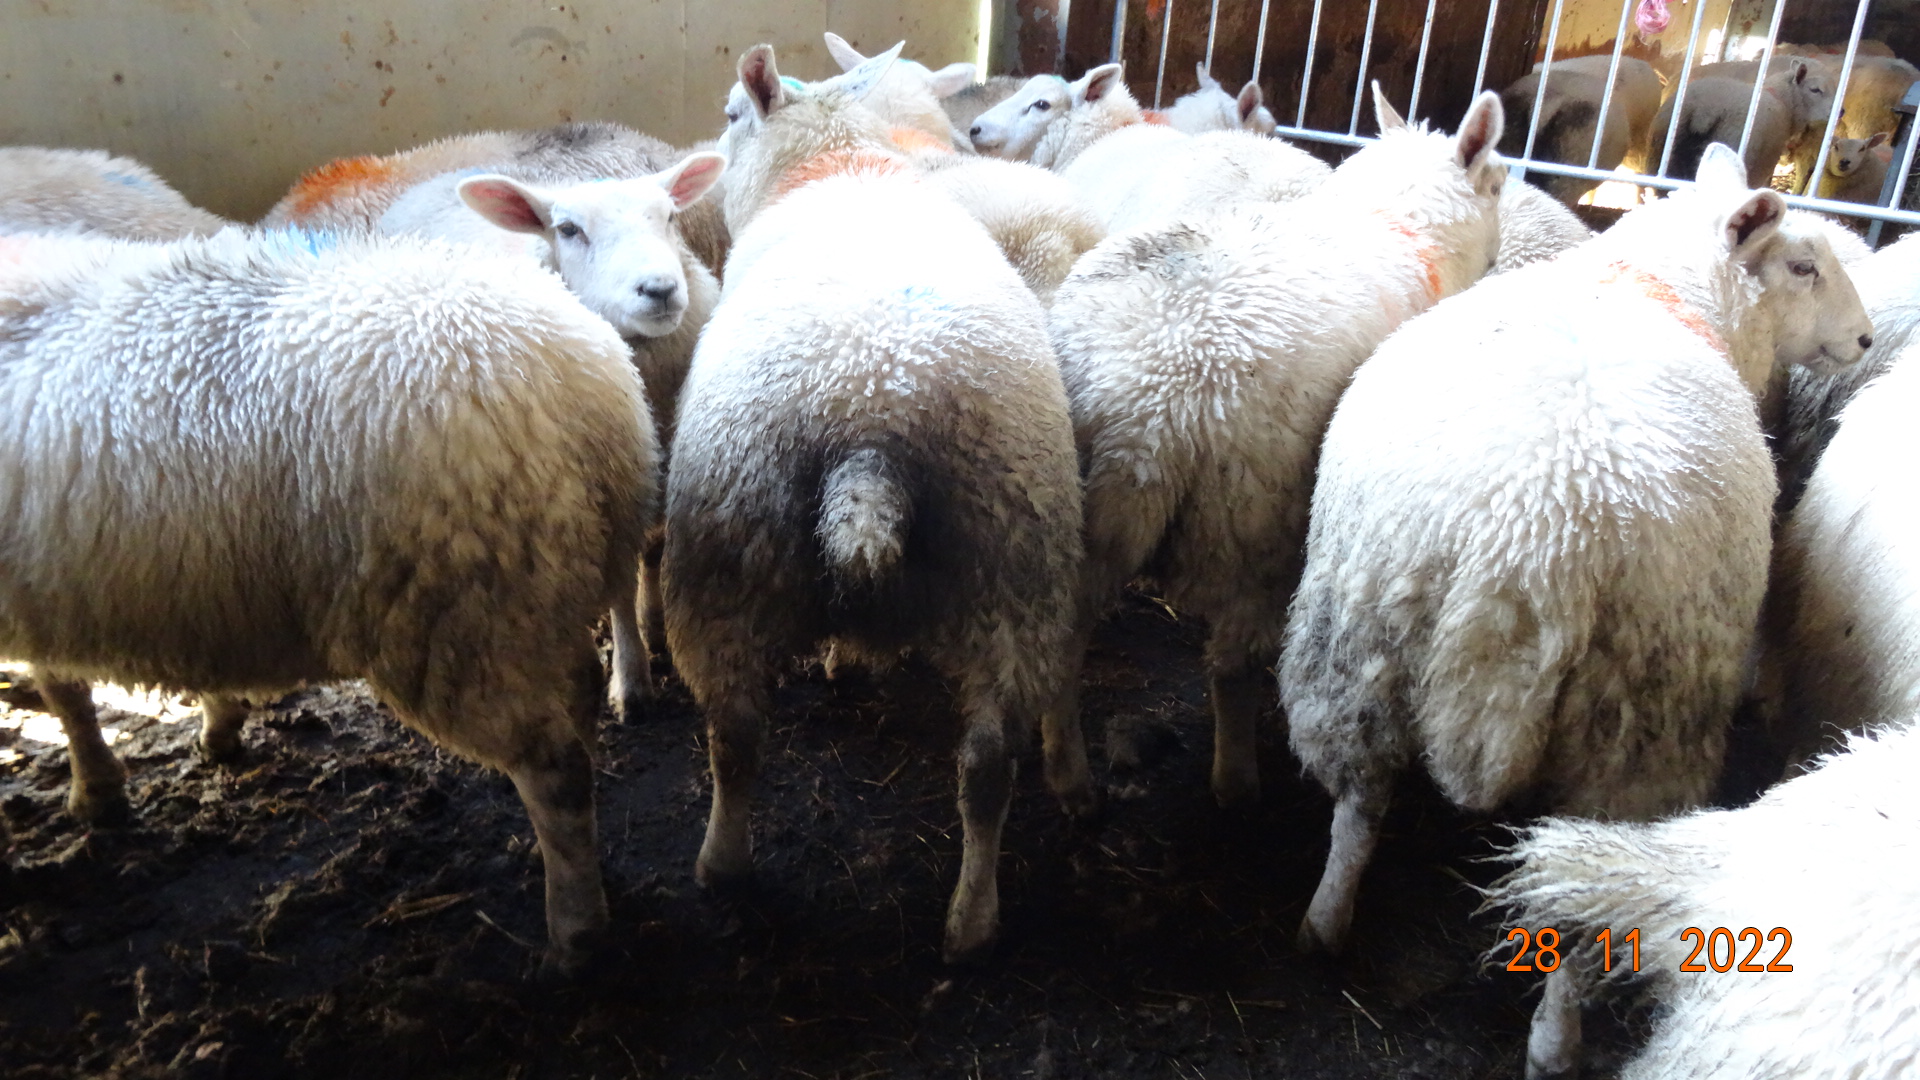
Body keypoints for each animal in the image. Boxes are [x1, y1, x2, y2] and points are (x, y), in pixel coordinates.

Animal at [0, 228, 657, 976]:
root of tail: (588, 380)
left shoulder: (33, 598)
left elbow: (64, 694)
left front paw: (96, 790)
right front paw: (216, 727)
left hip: (458, 617)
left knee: (554, 769)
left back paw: (575, 934)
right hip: (533, 595)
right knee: (578, 703)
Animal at [1045, 86, 1506, 810]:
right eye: (1499, 181)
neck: (1396, 226)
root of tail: (1144, 412)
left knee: (1061, 643)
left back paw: (1067, 775)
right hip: (1252, 521)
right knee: (1232, 667)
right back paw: (1236, 782)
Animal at [1278, 144, 1871, 1079]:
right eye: (1803, 266)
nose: (1866, 340)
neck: (1659, 285)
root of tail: (1532, 549)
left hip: (1359, 639)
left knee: (1361, 802)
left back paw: (1325, 926)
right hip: (1634, 726)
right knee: (1578, 911)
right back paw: (1555, 1045)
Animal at [1649, 58, 1837, 186]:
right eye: (1815, 90)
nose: (1840, 112)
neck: (1783, 99)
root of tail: (1705, 110)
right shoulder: (1763, 167)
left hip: (1660, 154)